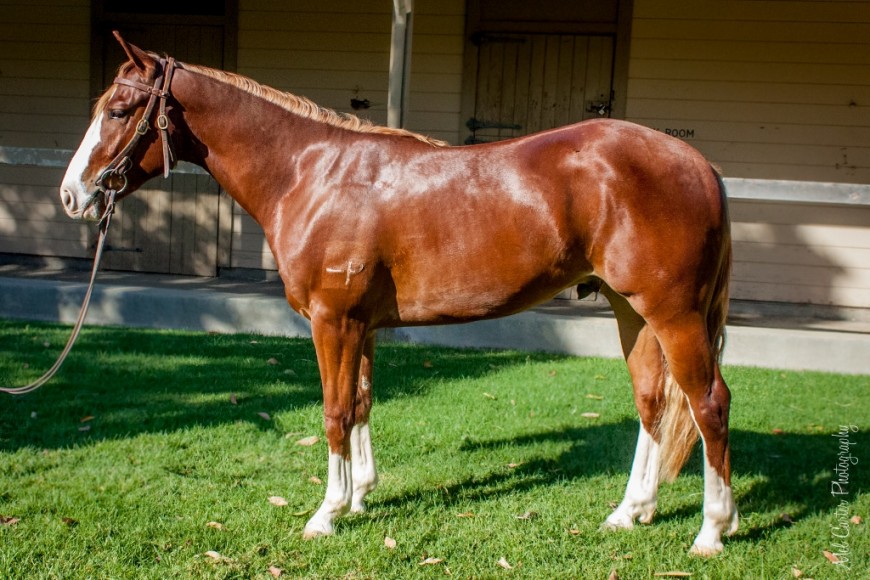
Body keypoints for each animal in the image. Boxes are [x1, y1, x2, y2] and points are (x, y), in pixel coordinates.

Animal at [59, 32, 738, 555]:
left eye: (119, 110)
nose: (72, 195)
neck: (310, 174)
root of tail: (698, 163)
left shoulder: (332, 322)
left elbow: (334, 412)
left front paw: (325, 514)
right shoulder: (360, 325)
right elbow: (360, 403)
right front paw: (359, 498)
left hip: (674, 314)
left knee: (708, 403)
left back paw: (711, 531)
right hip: (633, 312)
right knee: (653, 403)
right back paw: (631, 511)